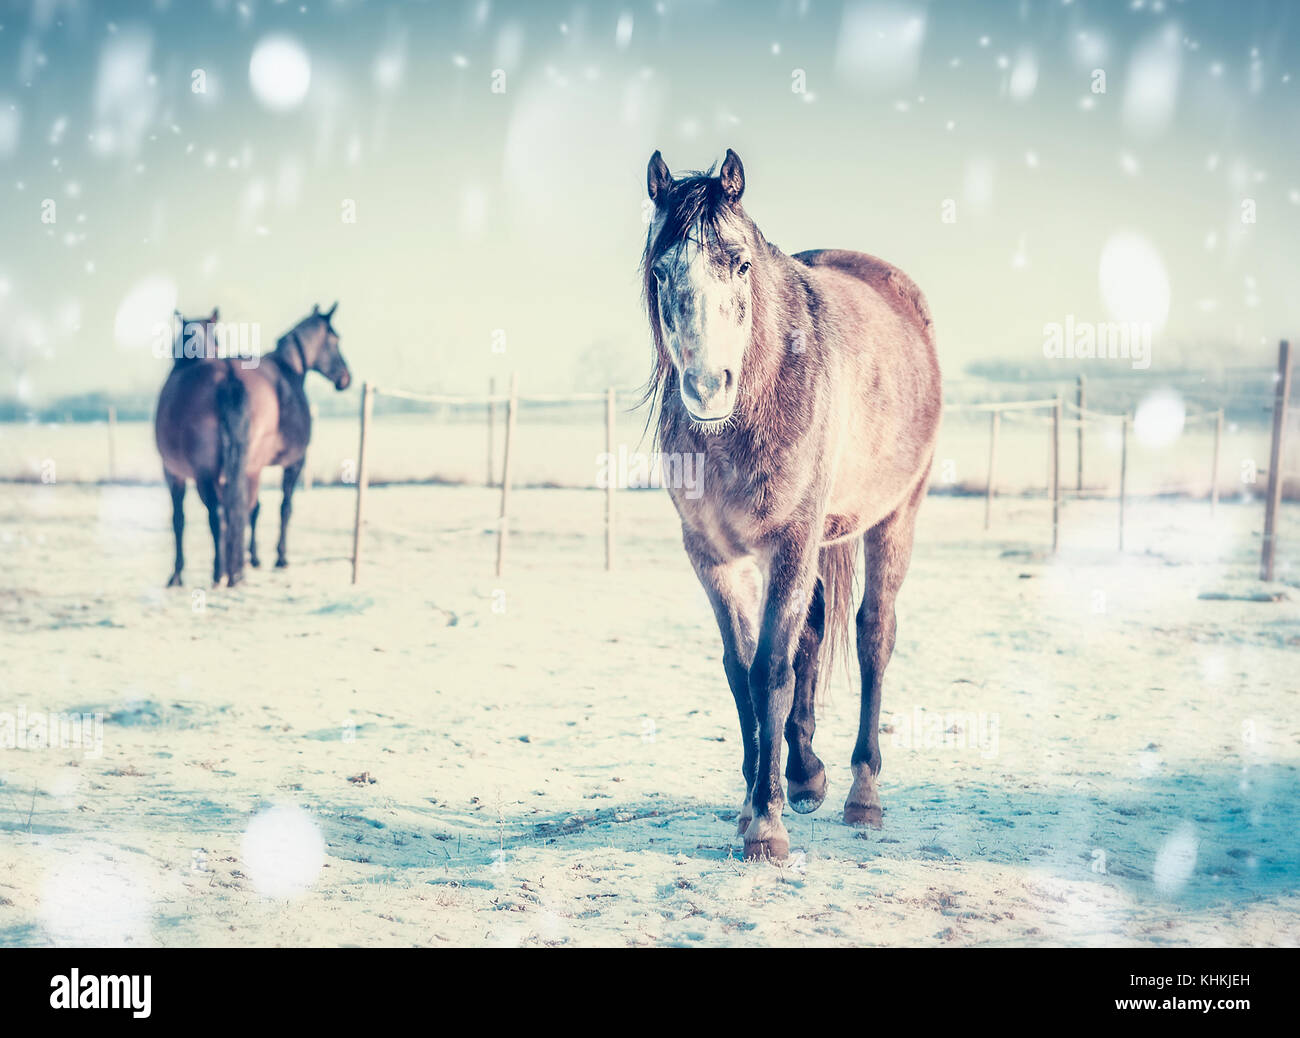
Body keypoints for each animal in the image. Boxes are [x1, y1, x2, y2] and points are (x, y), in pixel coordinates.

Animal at [154, 303, 351, 588]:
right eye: (335, 341)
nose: (345, 378)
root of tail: (228, 378)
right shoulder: (294, 461)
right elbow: (283, 508)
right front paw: (276, 558)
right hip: (234, 470)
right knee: (231, 512)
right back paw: (228, 571)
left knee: (229, 512)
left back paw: (229, 570)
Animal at [642, 150, 942, 860]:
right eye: (661, 271)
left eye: (741, 263)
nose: (706, 387)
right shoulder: (712, 555)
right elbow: (741, 671)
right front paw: (756, 802)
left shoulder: (792, 542)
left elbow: (771, 671)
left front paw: (766, 825)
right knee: (815, 631)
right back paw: (806, 776)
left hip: (894, 518)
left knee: (873, 635)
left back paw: (863, 794)